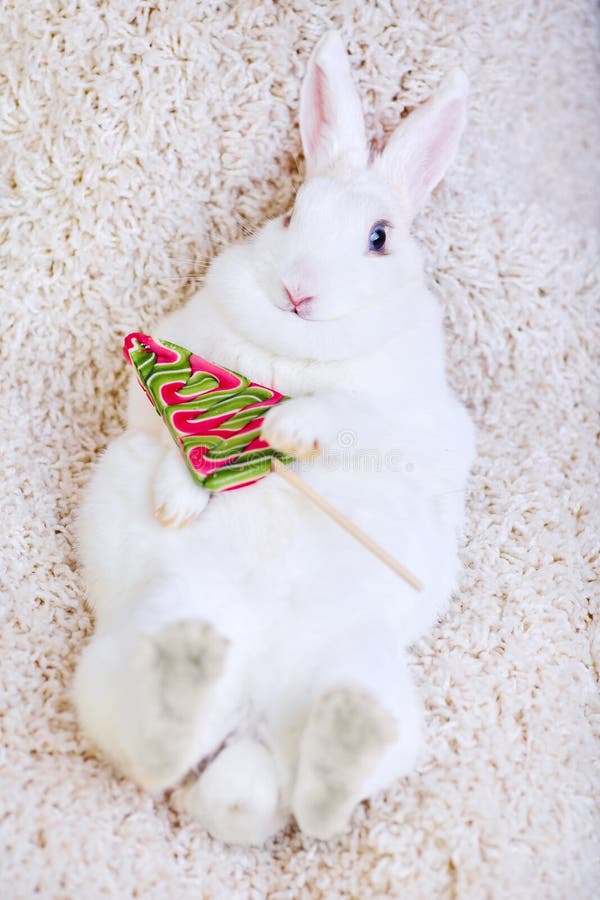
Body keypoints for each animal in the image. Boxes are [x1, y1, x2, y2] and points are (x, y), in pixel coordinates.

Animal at [73, 31, 475, 845]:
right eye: (290, 214)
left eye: (380, 238)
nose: (298, 290)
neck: (301, 350)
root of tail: (252, 725)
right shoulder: (165, 372)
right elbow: (170, 441)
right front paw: (178, 502)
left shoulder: (422, 419)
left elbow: (353, 414)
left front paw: (289, 425)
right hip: (155, 621)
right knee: (151, 750)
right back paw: (187, 675)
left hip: (369, 673)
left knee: (322, 792)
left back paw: (345, 732)